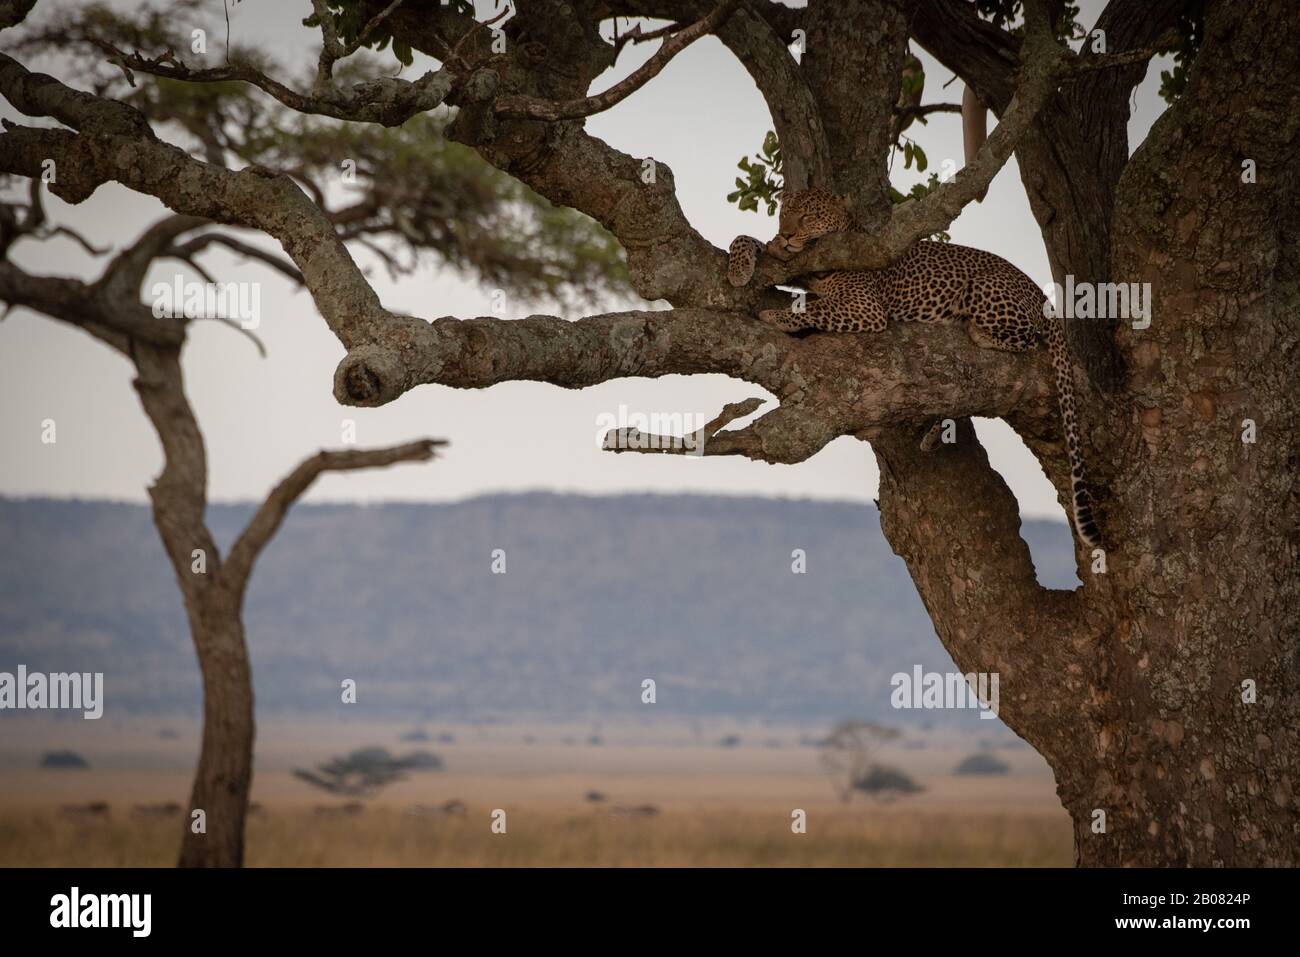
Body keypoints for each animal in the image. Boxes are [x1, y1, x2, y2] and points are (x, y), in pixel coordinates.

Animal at [728, 187, 1101, 551]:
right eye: (784, 215)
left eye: (808, 216)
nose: (787, 234)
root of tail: (1041, 294)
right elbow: (745, 238)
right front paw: (740, 267)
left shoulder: (866, 307)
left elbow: (814, 308)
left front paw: (777, 316)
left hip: (985, 287)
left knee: (1027, 339)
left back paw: (976, 332)